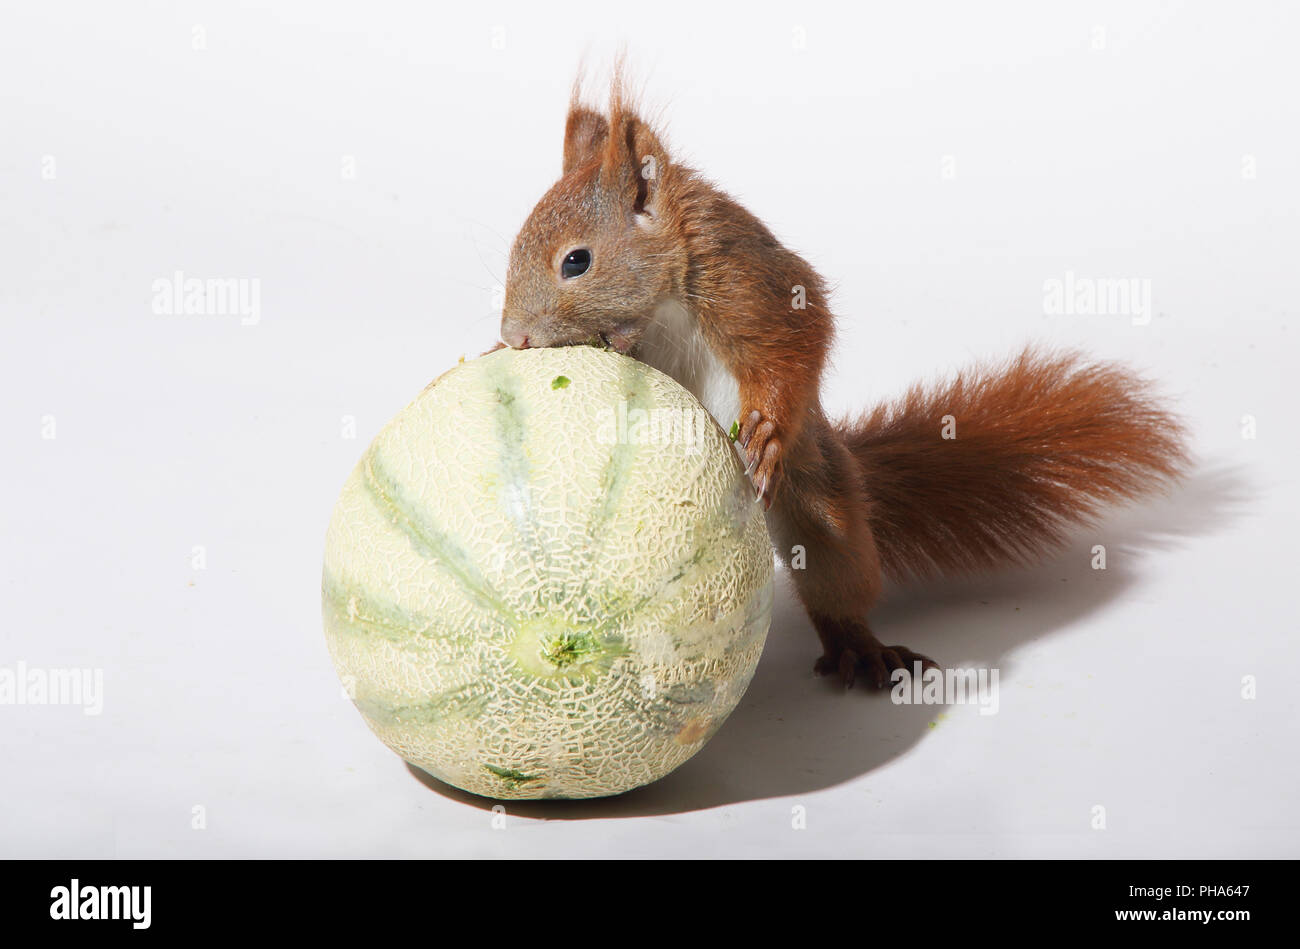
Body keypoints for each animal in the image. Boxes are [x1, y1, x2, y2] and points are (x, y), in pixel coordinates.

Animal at [493, 71, 1189, 688]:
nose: (515, 337)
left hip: (819, 493)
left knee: (838, 574)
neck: (661, 294)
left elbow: (795, 344)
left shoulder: (743, 276)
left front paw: (766, 428)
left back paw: (860, 647)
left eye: (576, 262)